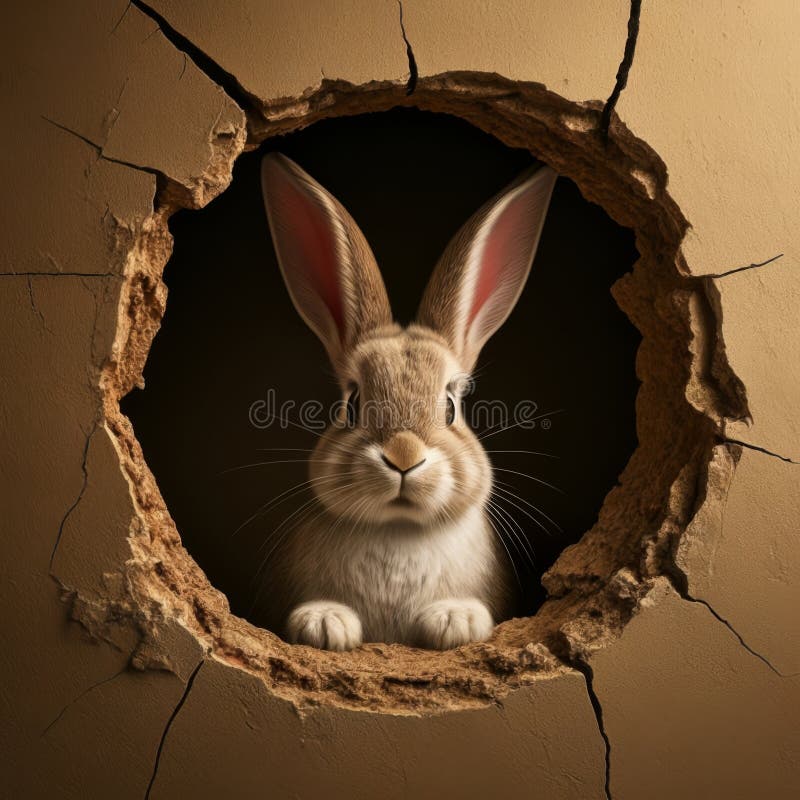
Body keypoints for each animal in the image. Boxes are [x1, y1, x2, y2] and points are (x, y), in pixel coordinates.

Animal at [260, 152, 556, 650]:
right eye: (352, 403)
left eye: (452, 406)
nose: (403, 455)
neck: (399, 528)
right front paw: (324, 623)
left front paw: (456, 619)